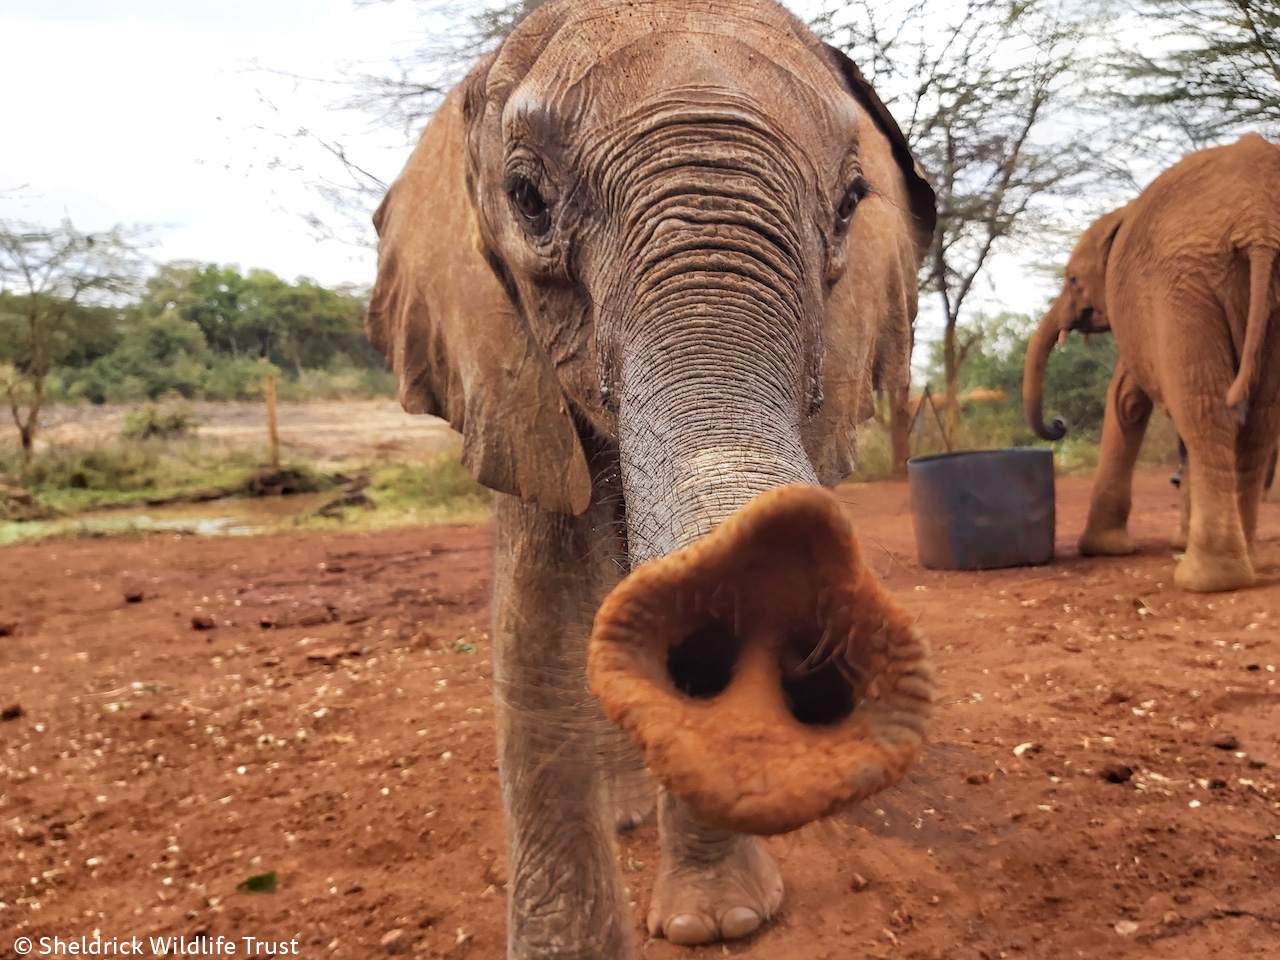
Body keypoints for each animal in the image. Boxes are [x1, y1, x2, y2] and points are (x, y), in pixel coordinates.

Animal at [1024, 133, 1280, 592]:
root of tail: (1261, 223)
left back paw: (1204, 579)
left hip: (1185, 282)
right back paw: (1244, 567)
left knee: (1205, 408)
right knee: (1261, 420)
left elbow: (1124, 399)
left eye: (1072, 280)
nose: (1059, 424)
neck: (1119, 212)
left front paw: (1101, 550)